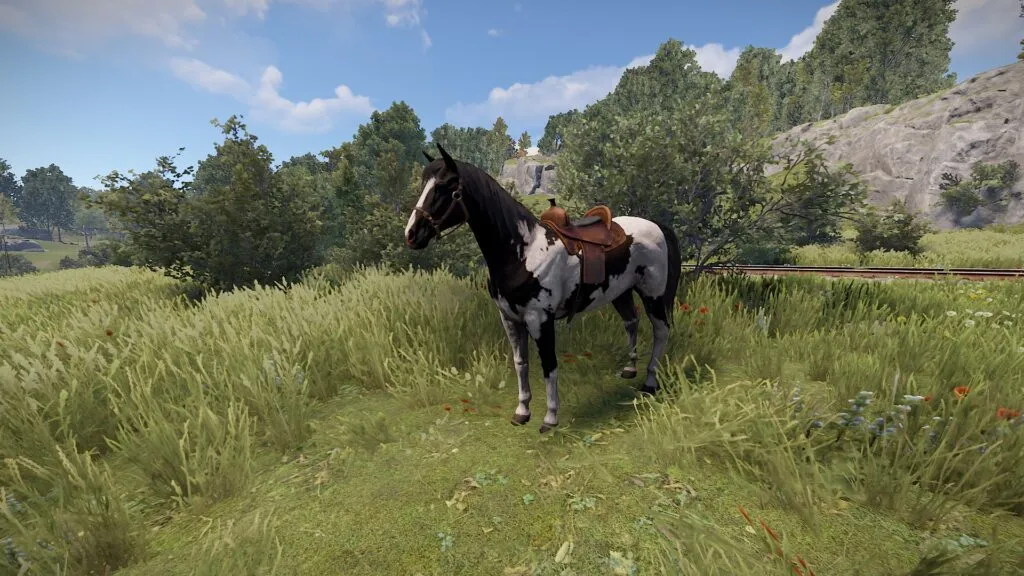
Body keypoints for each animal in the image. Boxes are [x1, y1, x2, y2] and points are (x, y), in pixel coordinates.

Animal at [404, 143, 681, 433]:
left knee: (661, 331)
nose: (411, 235)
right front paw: (522, 411)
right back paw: (630, 369)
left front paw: (550, 417)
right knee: (631, 321)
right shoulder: (510, 319)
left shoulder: (540, 320)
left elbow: (549, 365)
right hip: (620, 293)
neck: (523, 253)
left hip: (654, 295)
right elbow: (521, 363)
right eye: (424, 184)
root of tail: (658, 226)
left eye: (444, 187)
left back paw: (650, 382)